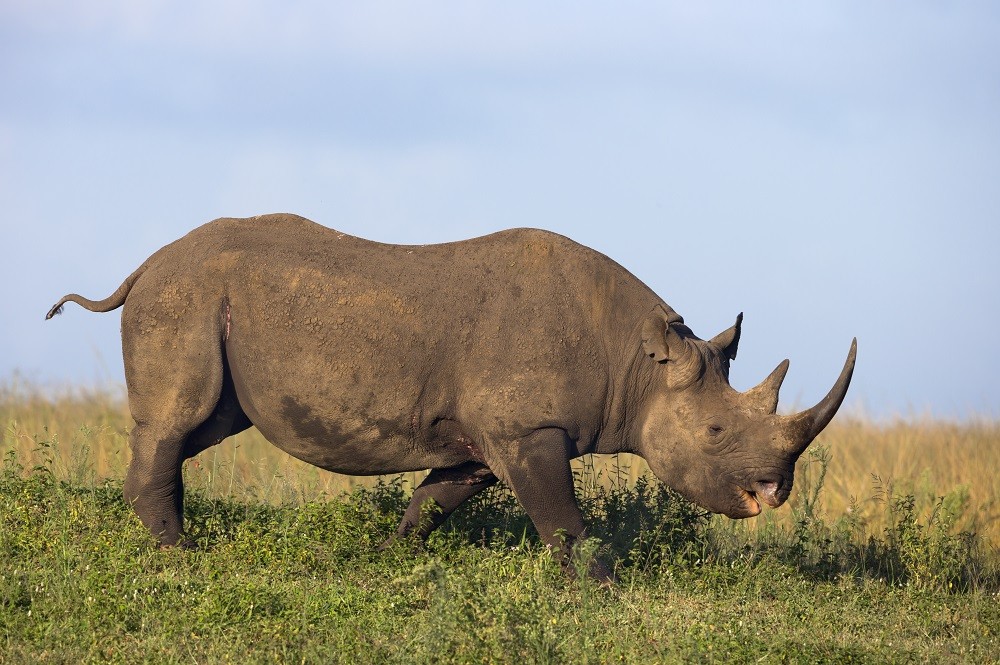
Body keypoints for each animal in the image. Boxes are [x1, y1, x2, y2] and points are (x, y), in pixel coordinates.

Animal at [47, 214, 855, 579]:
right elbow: (563, 522)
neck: (638, 360)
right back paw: (184, 559)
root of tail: (143, 265)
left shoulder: (486, 437)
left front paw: (386, 556)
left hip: (198, 302)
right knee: (175, 423)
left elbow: (434, 499)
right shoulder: (529, 427)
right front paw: (600, 589)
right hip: (182, 299)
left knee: (200, 426)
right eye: (717, 433)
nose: (774, 492)